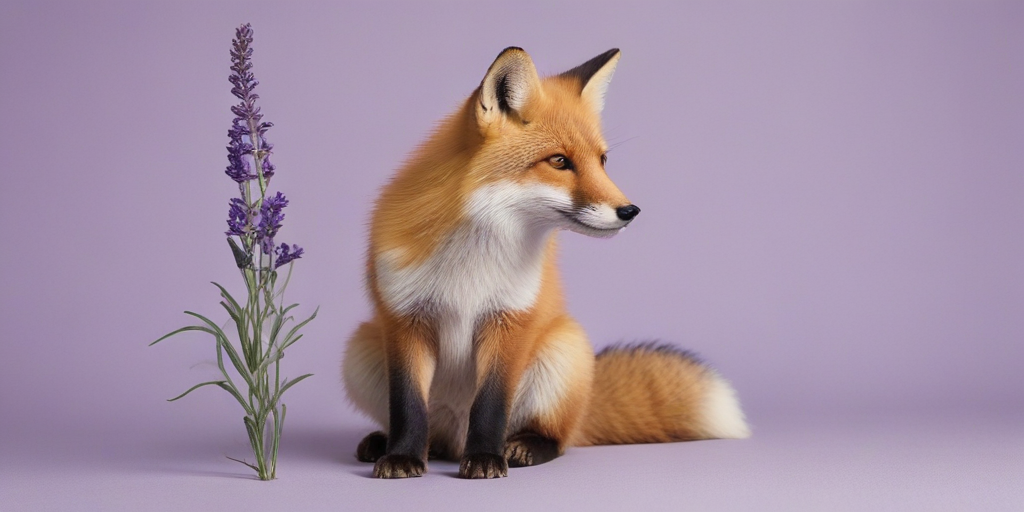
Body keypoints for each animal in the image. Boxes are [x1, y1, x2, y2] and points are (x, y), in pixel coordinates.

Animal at [342, 47, 750, 479]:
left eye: (602, 160)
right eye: (558, 161)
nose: (630, 211)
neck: (471, 260)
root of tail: (453, 439)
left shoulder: (512, 320)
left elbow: (491, 406)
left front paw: (486, 458)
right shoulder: (404, 319)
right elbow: (407, 407)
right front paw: (402, 456)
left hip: (565, 346)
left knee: (557, 438)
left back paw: (522, 447)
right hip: (361, 346)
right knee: (427, 431)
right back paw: (388, 443)